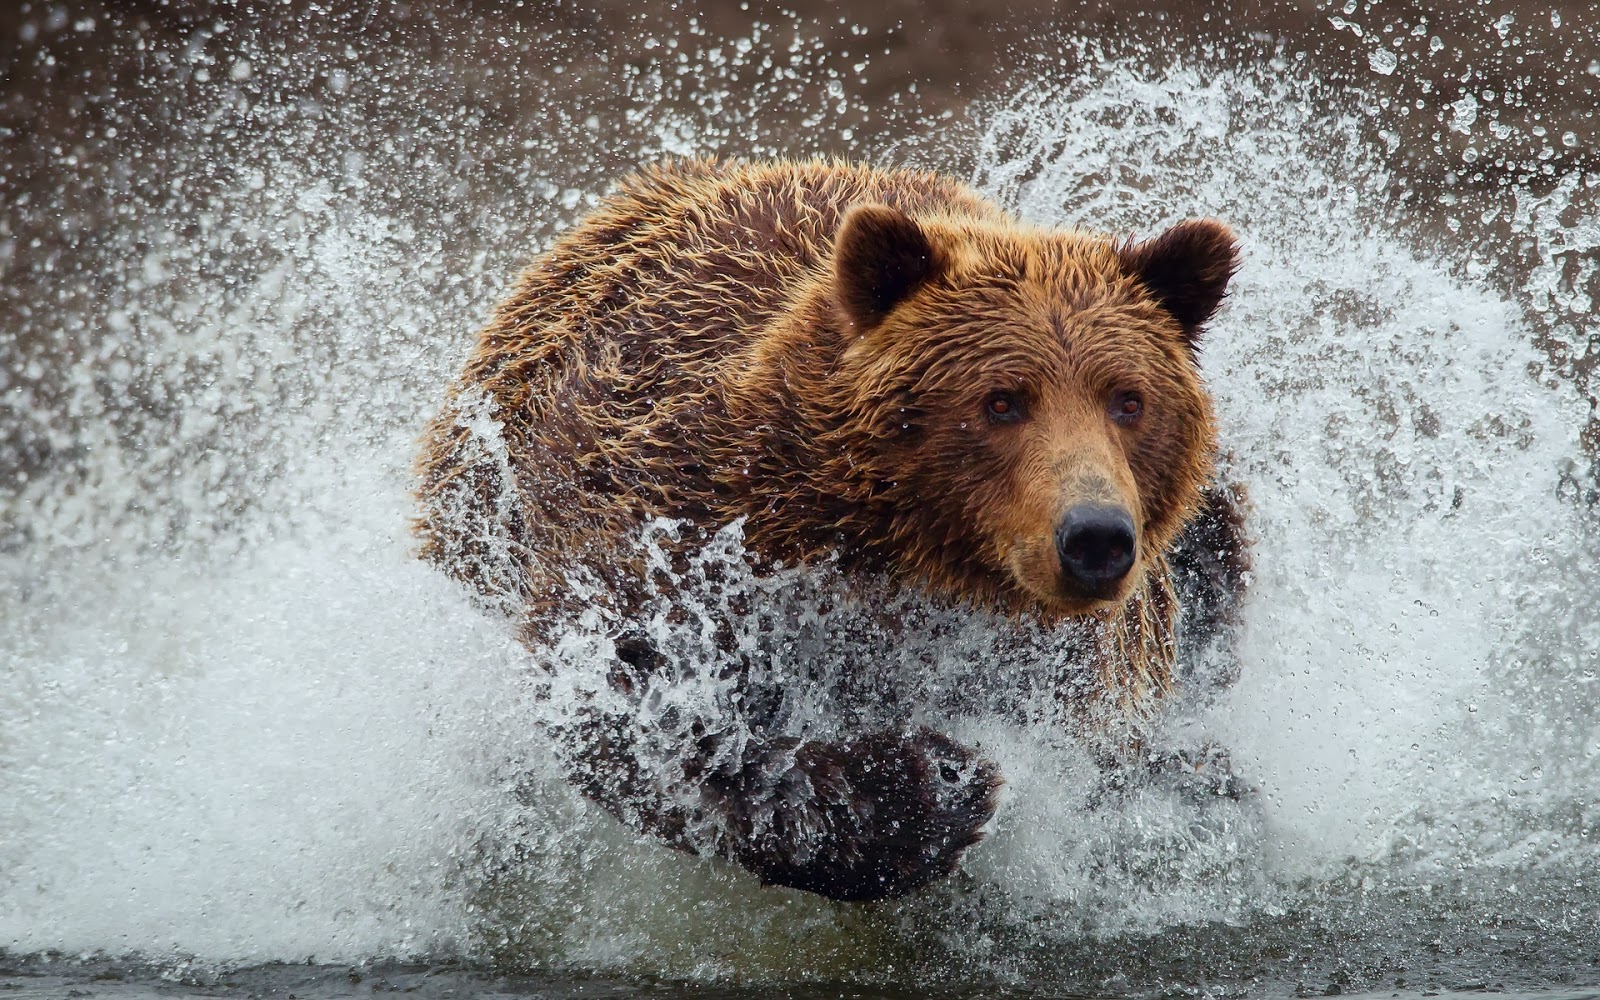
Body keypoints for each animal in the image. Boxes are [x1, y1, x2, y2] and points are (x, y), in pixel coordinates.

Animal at [415, 158, 1247, 902]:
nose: (1095, 537)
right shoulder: (678, 516)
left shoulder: (1076, 659)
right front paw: (933, 781)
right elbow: (638, 700)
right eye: (1002, 400)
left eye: (1128, 399)